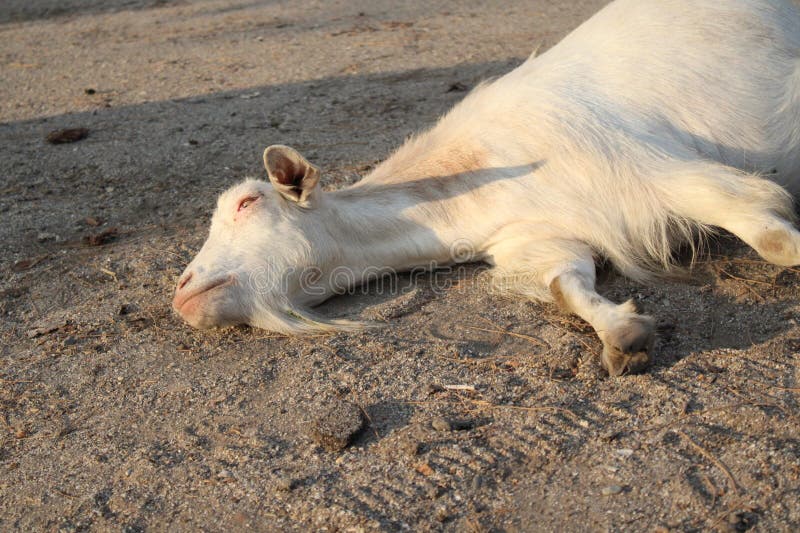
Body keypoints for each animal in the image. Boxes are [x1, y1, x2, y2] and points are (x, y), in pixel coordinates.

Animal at [174, 0, 800, 376]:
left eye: (247, 203)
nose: (181, 290)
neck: (489, 167)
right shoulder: (535, 236)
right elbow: (564, 282)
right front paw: (623, 335)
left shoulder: (650, 170)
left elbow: (770, 238)